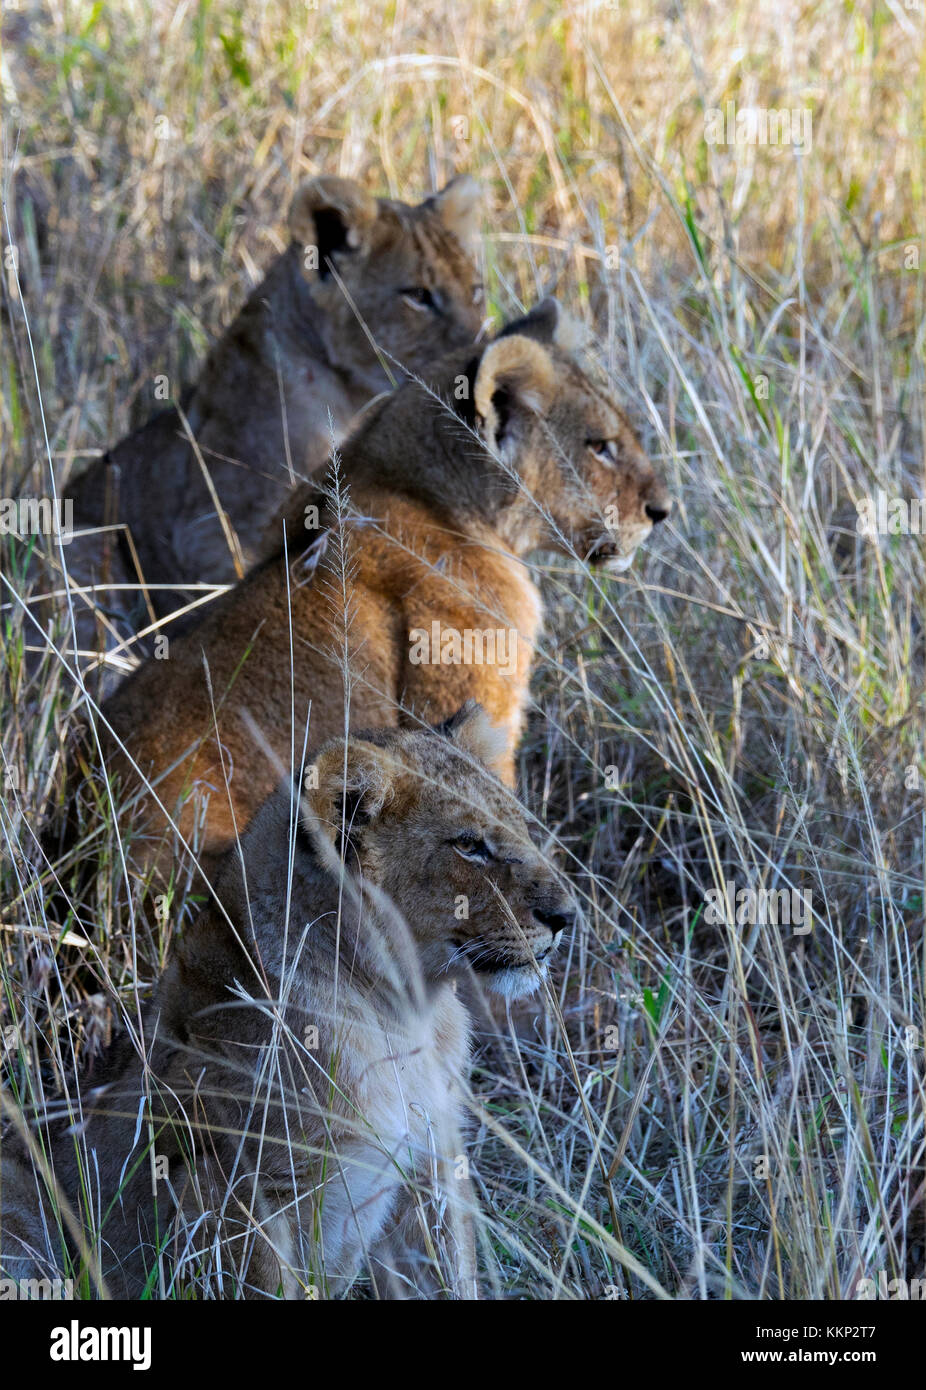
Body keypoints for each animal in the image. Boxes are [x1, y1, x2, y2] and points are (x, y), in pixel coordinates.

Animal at [3, 706, 575, 1299]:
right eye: (468, 846)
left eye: (523, 829)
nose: (567, 916)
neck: (401, 1009)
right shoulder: (236, 1181)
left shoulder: (430, 1163)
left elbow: (449, 1274)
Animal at [60, 174, 483, 691]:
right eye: (418, 295)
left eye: (476, 290)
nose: (485, 346)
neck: (349, 394)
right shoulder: (209, 534)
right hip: (82, 543)